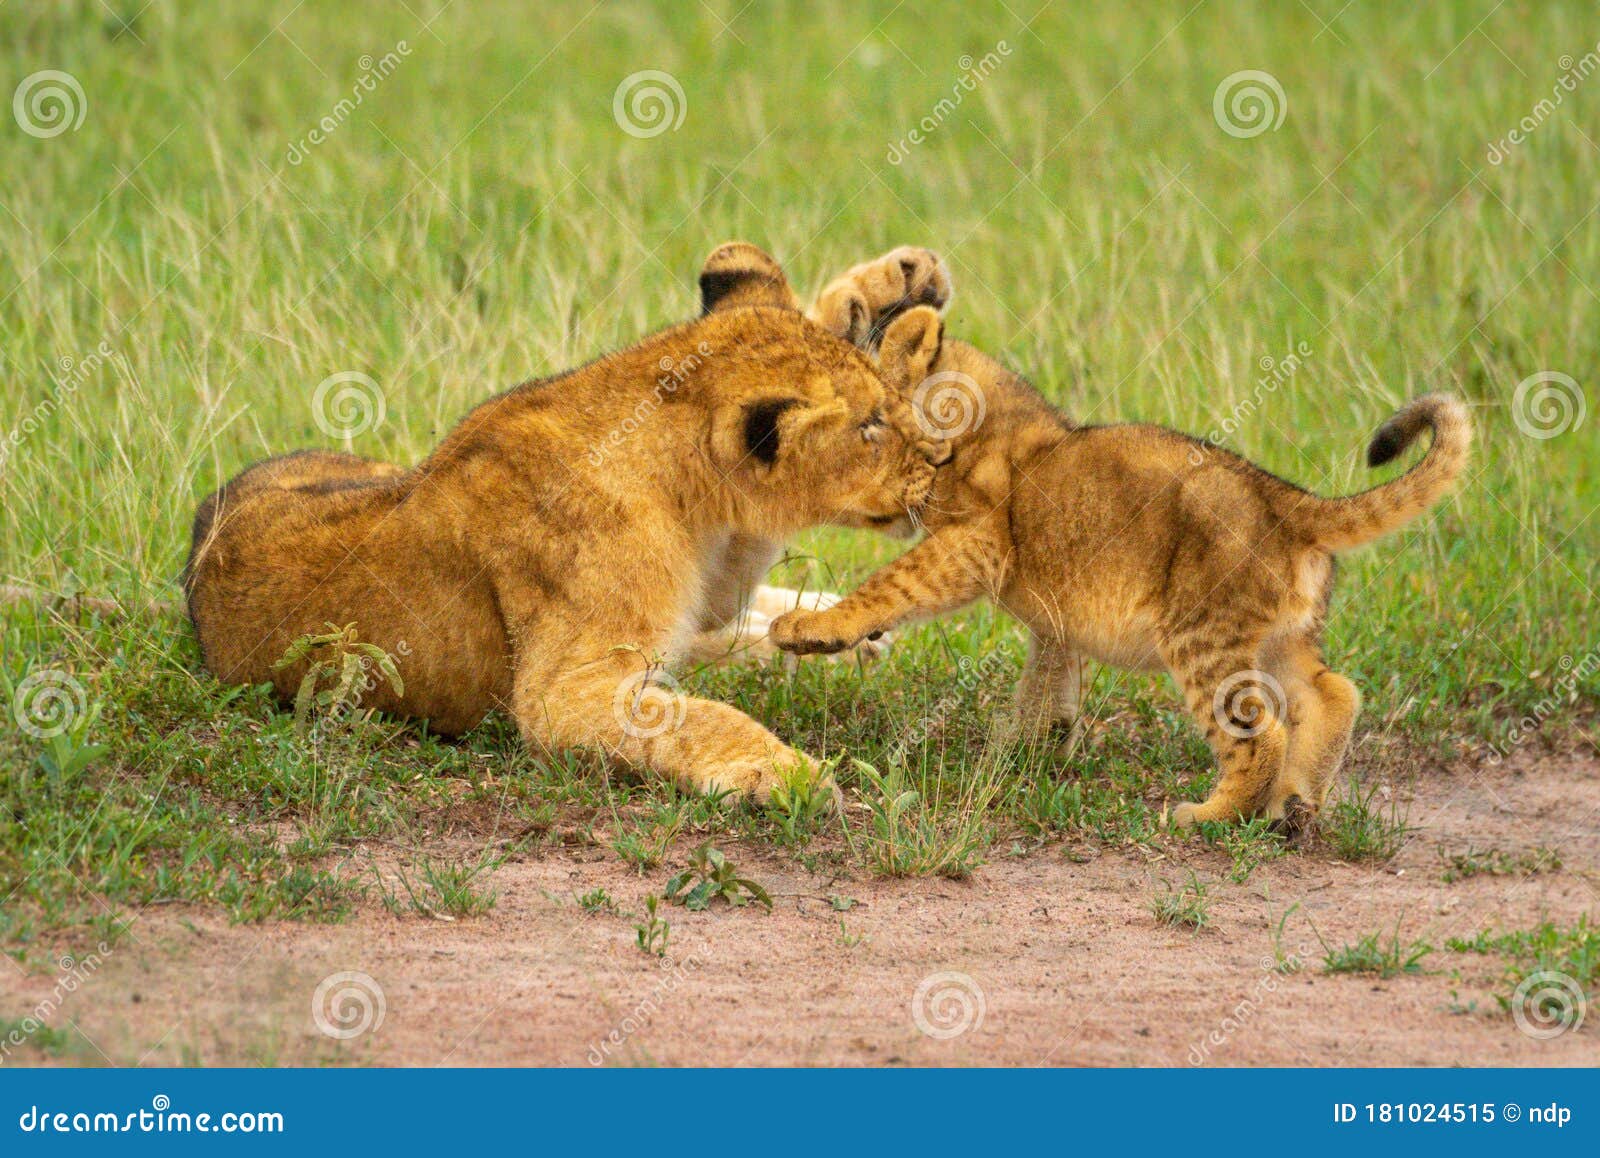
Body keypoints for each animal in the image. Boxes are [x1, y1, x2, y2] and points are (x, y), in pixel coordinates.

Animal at [183, 243, 949, 801]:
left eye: (889, 403)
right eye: (873, 426)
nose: (942, 460)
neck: (688, 493)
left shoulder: (707, 573)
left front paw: (886, 293)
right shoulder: (562, 693)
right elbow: (696, 715)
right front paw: (790, 775)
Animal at [770, 304, 1471, 830]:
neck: (968, 420)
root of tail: (1288, 500)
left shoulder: (973, 544)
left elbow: (891, 583)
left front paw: (813, 629)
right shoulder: (1051, 617)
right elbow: (1046, 687)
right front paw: (1027, 755)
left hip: (1201, 633)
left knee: (1261, 730)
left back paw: (1210, 816)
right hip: (1280, 638)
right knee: (1332, 693)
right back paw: (1293, 809)